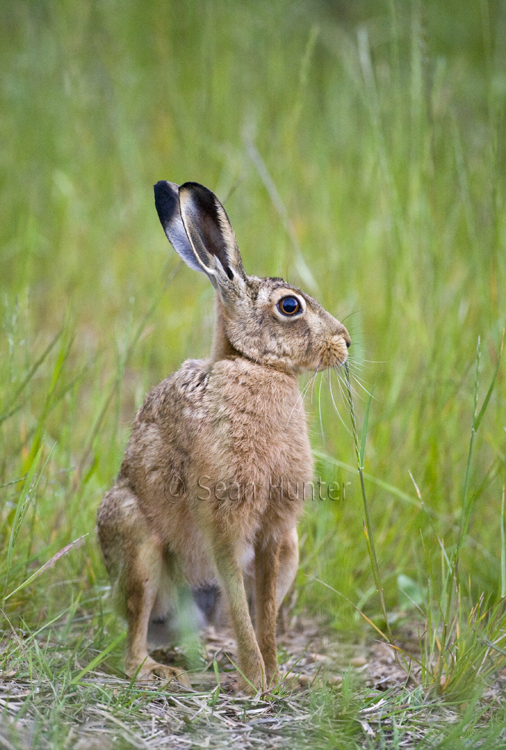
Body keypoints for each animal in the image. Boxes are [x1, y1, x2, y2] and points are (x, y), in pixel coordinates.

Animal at [97, 180, 351, 692]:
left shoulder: (275, 533)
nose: (346, 341)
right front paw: (256, 681)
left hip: (292, 550)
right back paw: (160, 671)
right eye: (290, 306)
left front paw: (277, 678)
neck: (254, 365)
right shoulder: (225, 523)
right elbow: (243, 612)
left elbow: (264, 615)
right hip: (137, 544)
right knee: (133, 640)